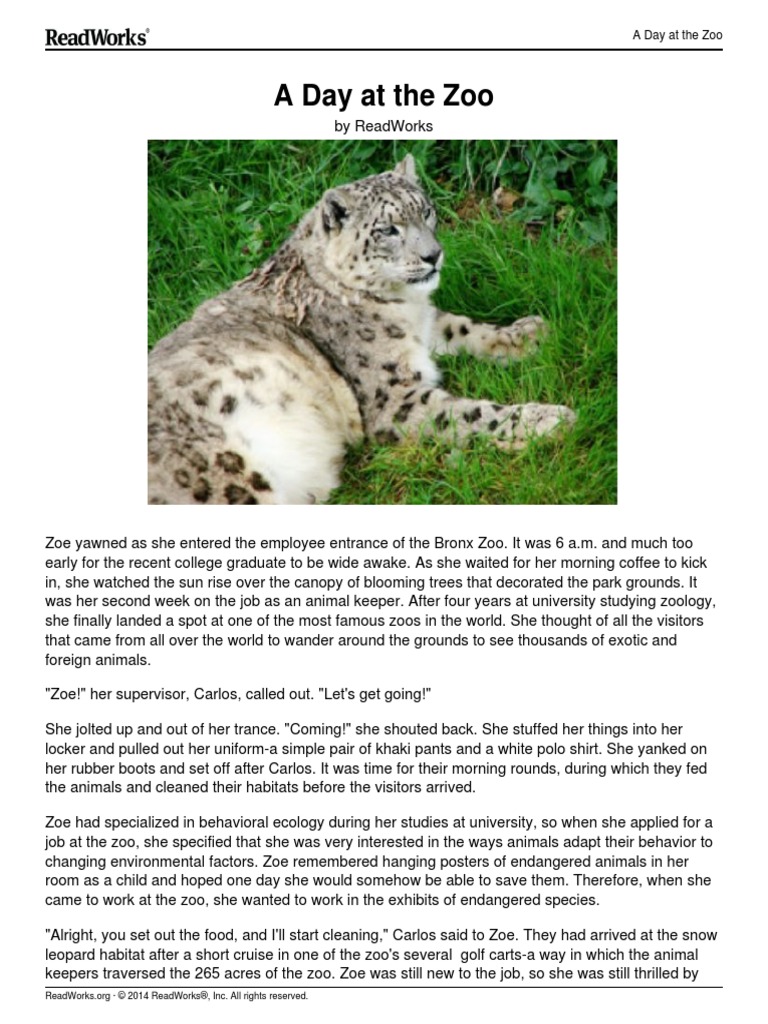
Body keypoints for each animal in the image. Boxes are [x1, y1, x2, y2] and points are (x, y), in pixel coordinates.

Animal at [148, 154, 575, 504]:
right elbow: (471, 415)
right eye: (387, 230)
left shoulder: (423, 327)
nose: (433, 255)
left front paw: (529, 333)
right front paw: (547, 419)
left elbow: (463, 327)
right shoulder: (394, 397)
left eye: (427, 211)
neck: (403, 307)